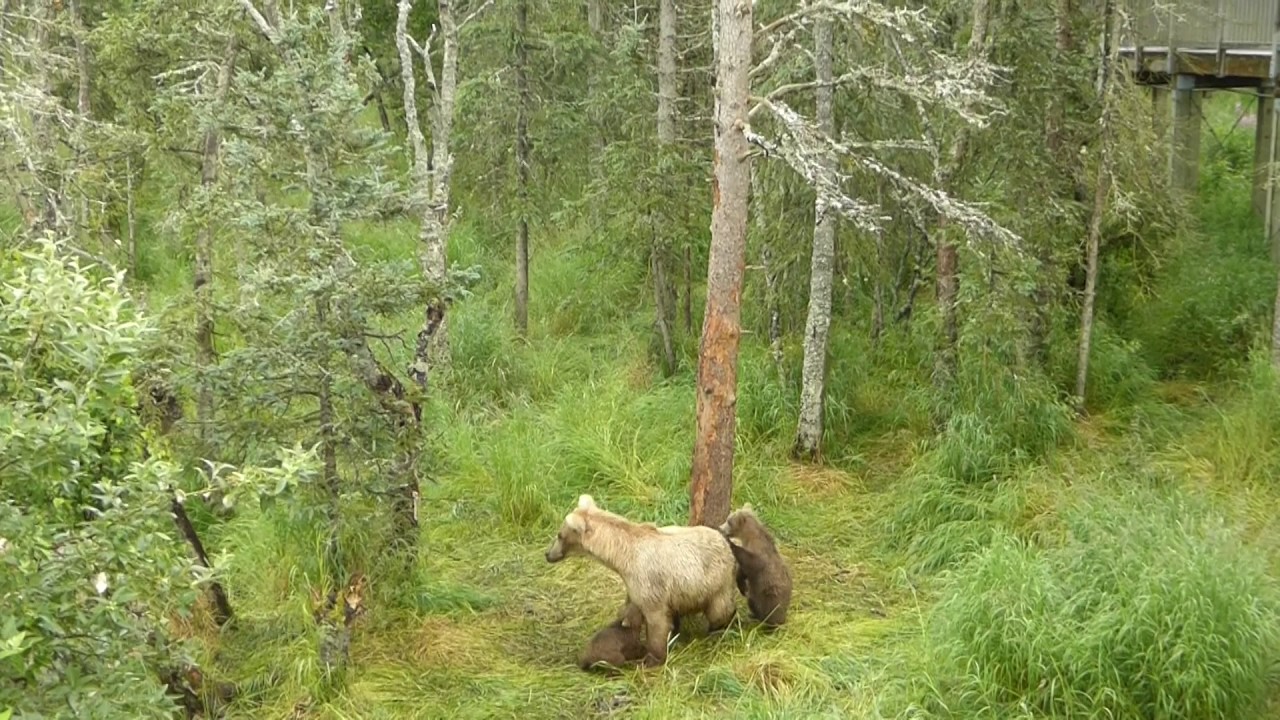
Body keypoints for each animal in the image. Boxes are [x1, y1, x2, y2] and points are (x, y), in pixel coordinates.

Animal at [545, 494, 738, 666]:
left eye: (559, 535)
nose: (548, 554)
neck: (623, 557)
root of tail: (725, 542)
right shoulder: (632, 584)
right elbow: (630, 609)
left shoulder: (648, 582)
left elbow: (656, 621)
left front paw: (652, 658)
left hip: (715, 581)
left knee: (720, 610)